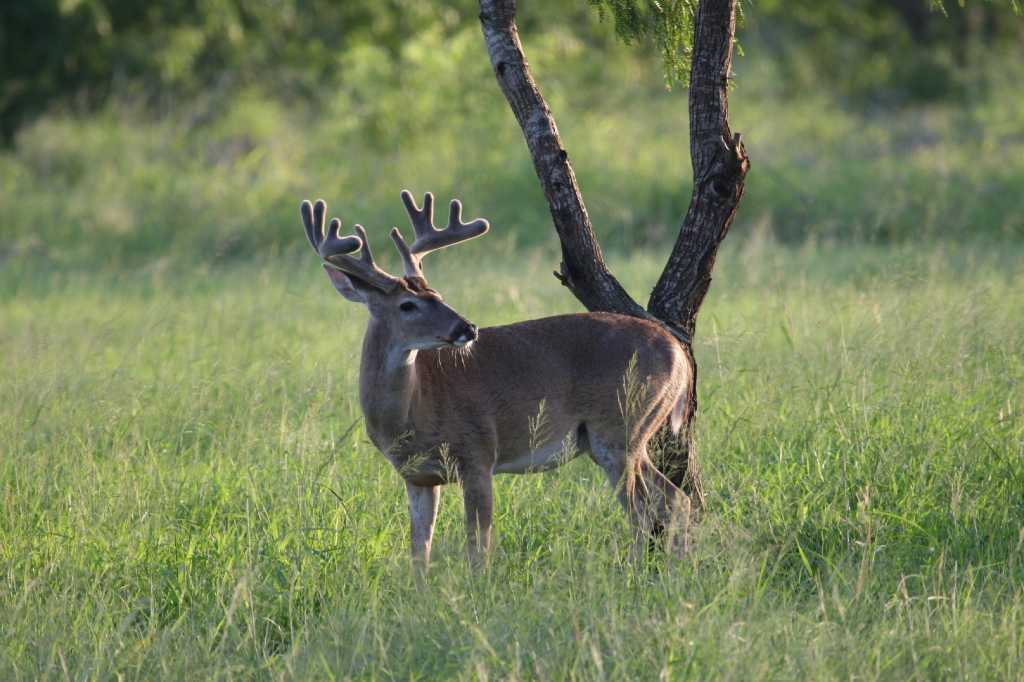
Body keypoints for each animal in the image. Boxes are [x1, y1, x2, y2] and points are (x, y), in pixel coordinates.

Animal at [301, 191, 693, 568]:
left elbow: (478, 548)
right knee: (675, 498)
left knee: (642, 511)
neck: (414, 408)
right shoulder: (418, 476)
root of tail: (678, 350)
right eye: (407, 305)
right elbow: (419, 549)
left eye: (437, 294)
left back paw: (635, 573)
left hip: (621, 428)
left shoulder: (477, 453)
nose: (467, 327)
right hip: (629, 437)